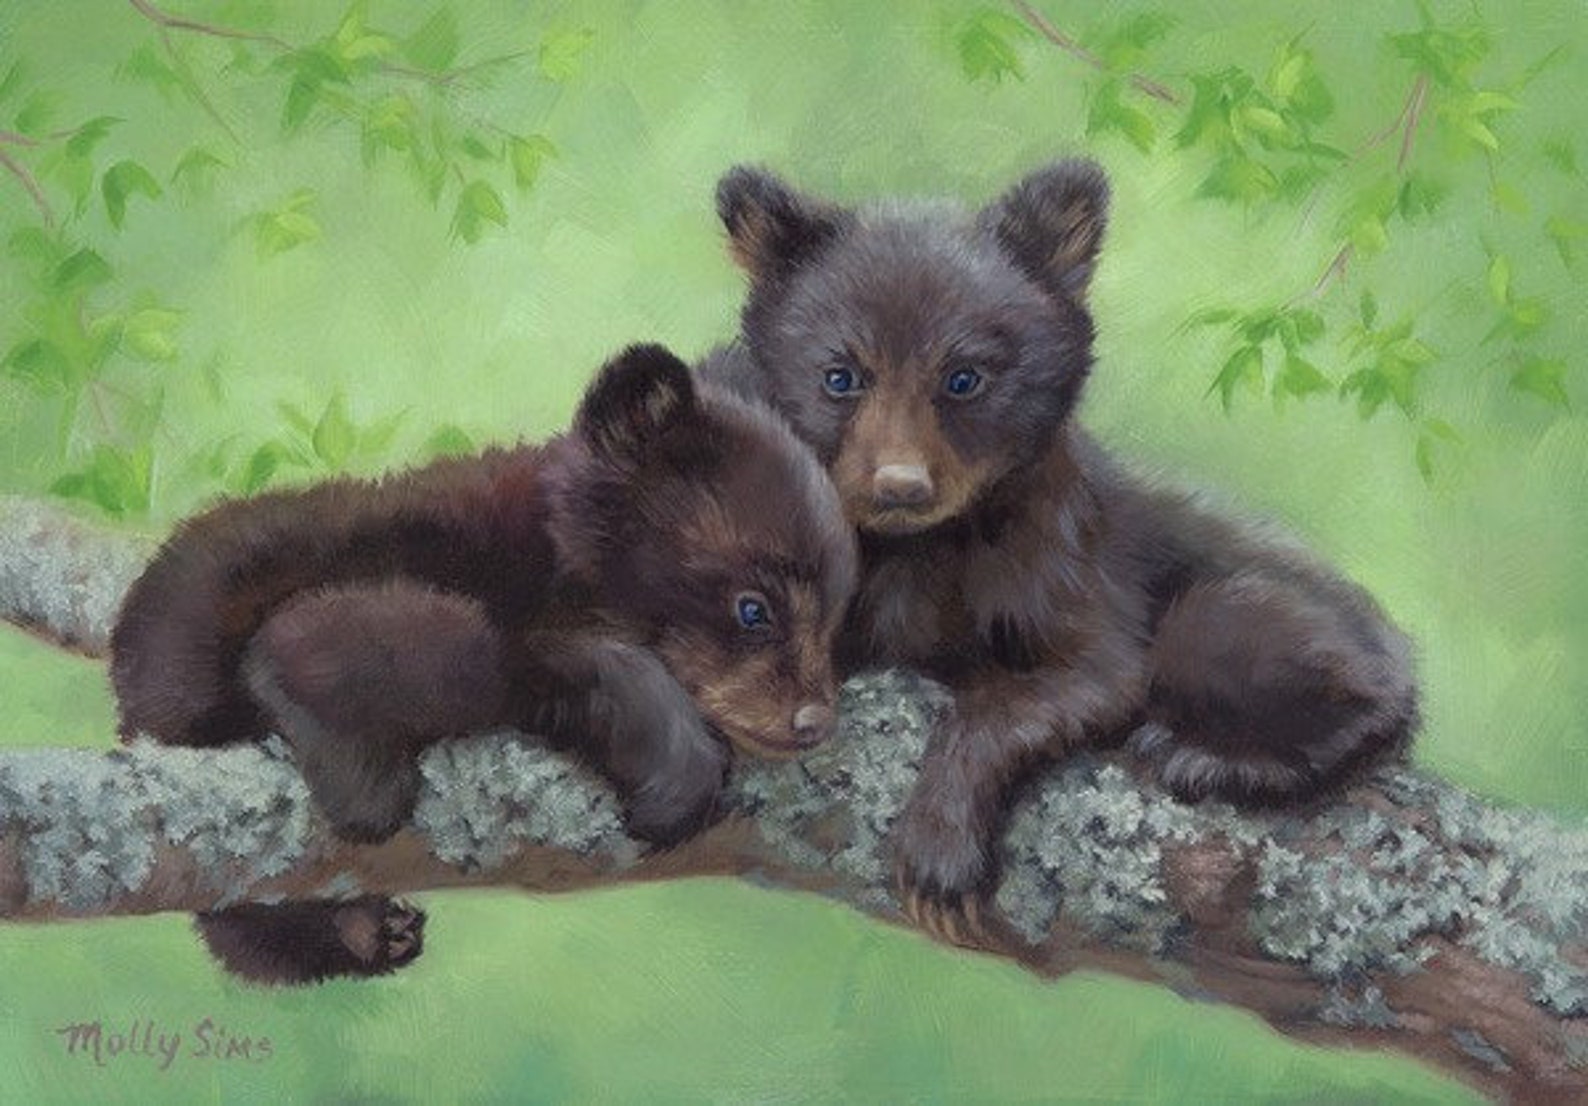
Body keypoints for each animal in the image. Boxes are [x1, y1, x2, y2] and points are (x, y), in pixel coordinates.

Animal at [110, 343, 857, 982]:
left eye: (837, 612)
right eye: (753, 609)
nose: (815, 722)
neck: (551, 551)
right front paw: (677, 776)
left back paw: (368, 931)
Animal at [701, 160, 1419, 944]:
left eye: (964, 377)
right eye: (840, 375)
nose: (900, 486)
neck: (921, 549)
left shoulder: (1068, 562)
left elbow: (1073, 680)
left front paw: (940, 861)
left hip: (1241, 616)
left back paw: (1206, 759)